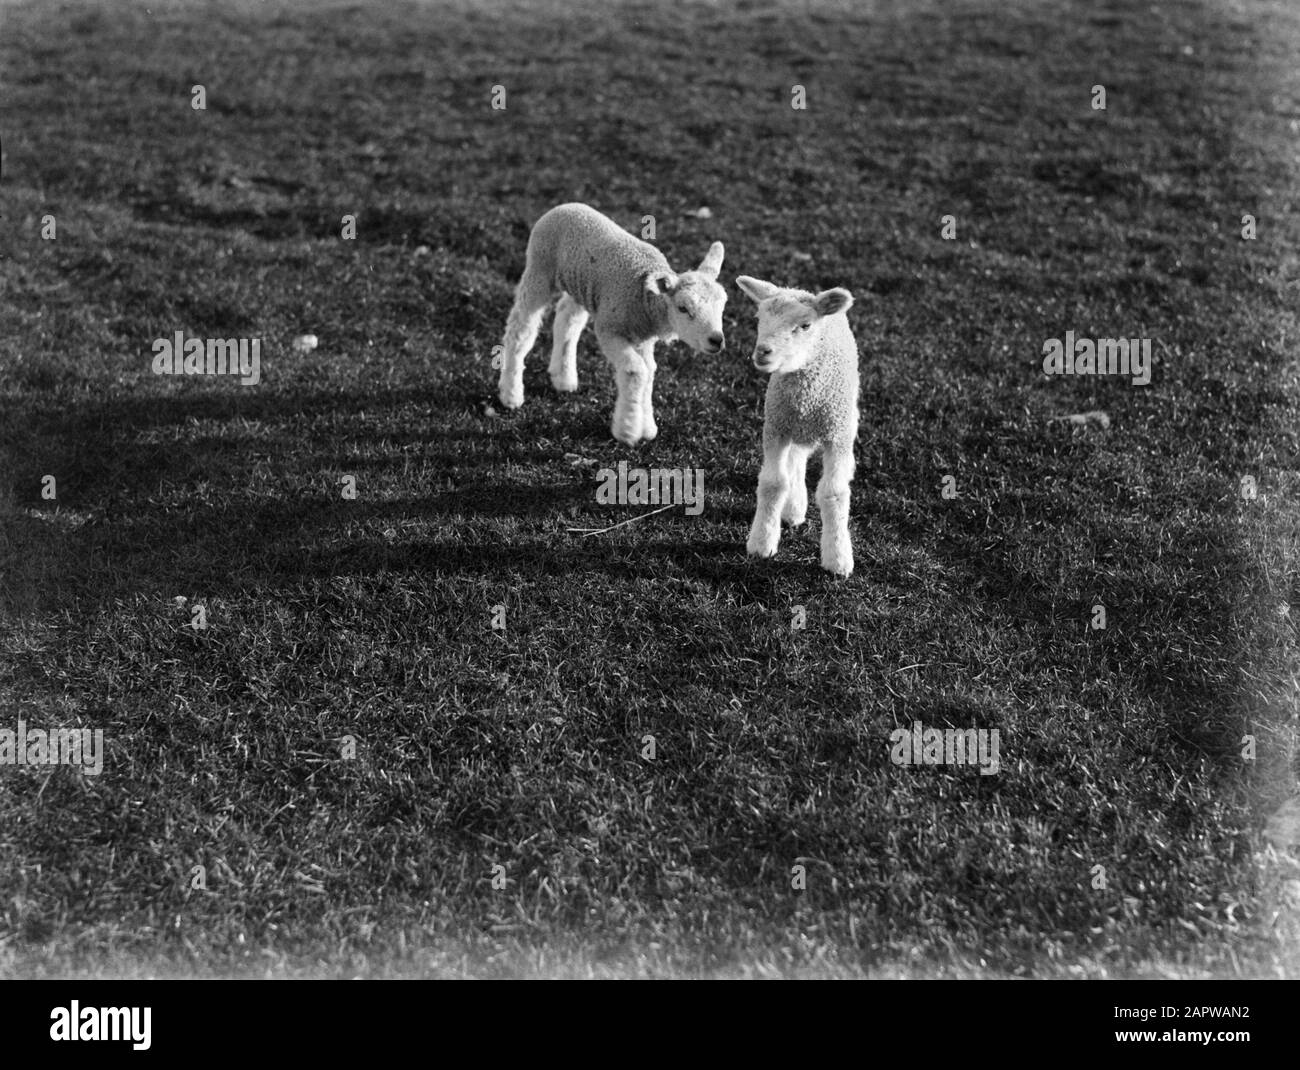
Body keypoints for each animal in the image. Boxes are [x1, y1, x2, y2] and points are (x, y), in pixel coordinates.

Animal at [496, 203, 727, 445]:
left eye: (722, 306)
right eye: (683, 308)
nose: (716, 340)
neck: (646, 299)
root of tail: (565, 206)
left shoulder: (643, 339)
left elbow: (649, 371)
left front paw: (647, 426)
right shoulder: (610, 328)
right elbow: (636, 371)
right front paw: (628, 430)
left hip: (579, 285)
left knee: (567, 320)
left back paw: (564, 378)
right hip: (539, 268)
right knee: (521, 329)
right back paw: (511, 394)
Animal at [735, 275, 860, 577]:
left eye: (805, 325)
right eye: (759, 318)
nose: (762, 352)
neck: (808, 397)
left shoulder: (837, 434)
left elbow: (834, 493)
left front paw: (838, 558)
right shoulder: (776, 427)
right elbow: (773, 483)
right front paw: (762, 542)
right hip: (792, 424)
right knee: (797, 458)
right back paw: (793, 508)